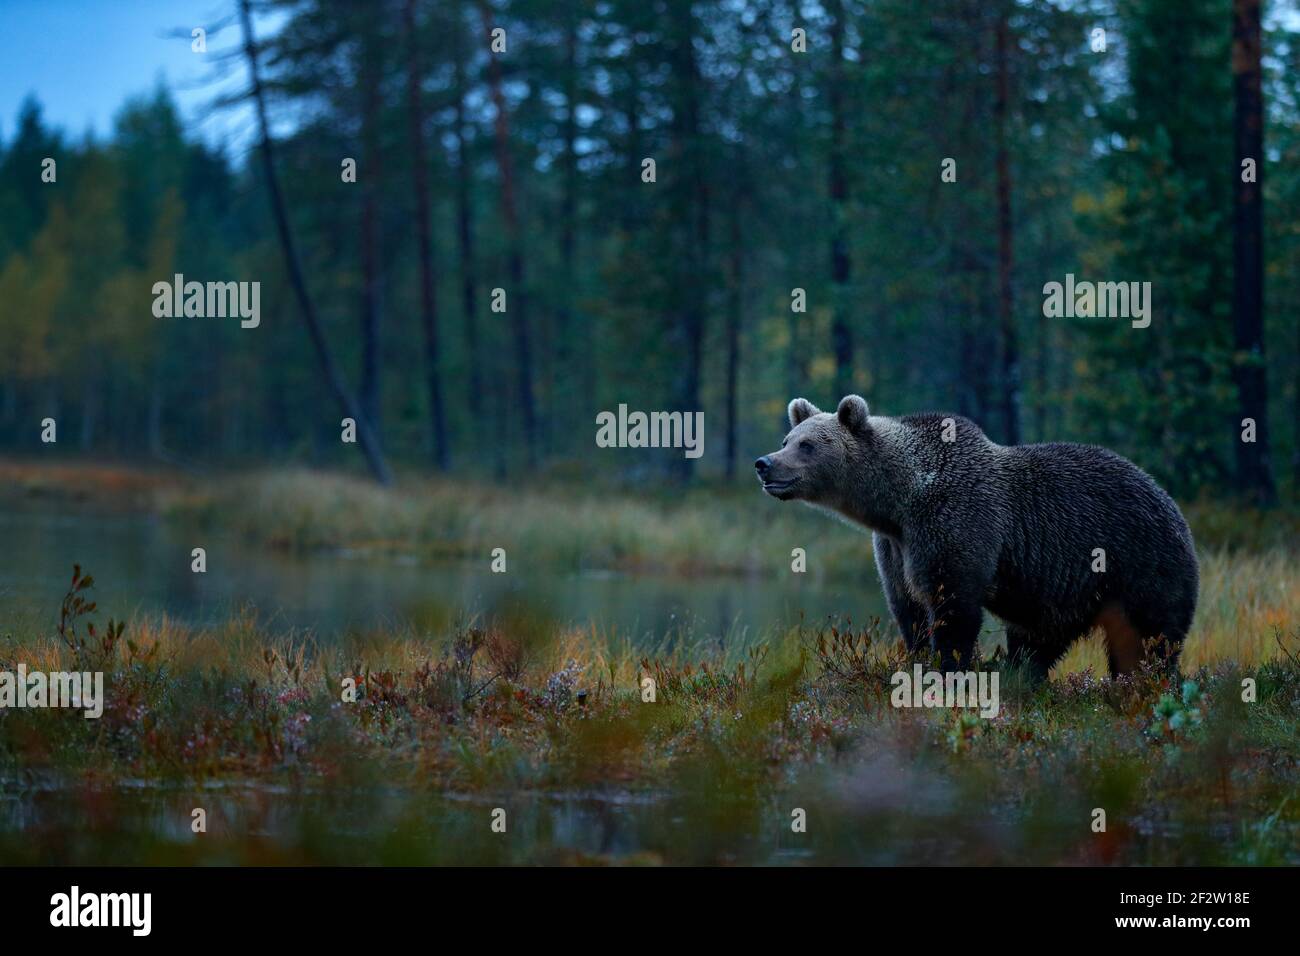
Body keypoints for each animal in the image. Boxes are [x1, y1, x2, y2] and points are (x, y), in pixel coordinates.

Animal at [755, 394, 1198, 680]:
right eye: (786, 440)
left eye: (808, 445)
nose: (765, 463)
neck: (900, 501)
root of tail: (1172, 503)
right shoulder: (895, 547)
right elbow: (908, 607)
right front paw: (919, 661)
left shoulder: (955, 522)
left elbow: (954, 604)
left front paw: (951, 670)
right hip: (1066, 591)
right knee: (1038, 640)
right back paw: (1023, 677)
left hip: (1141, 561)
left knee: (1151, 636)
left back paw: (1144, 683)